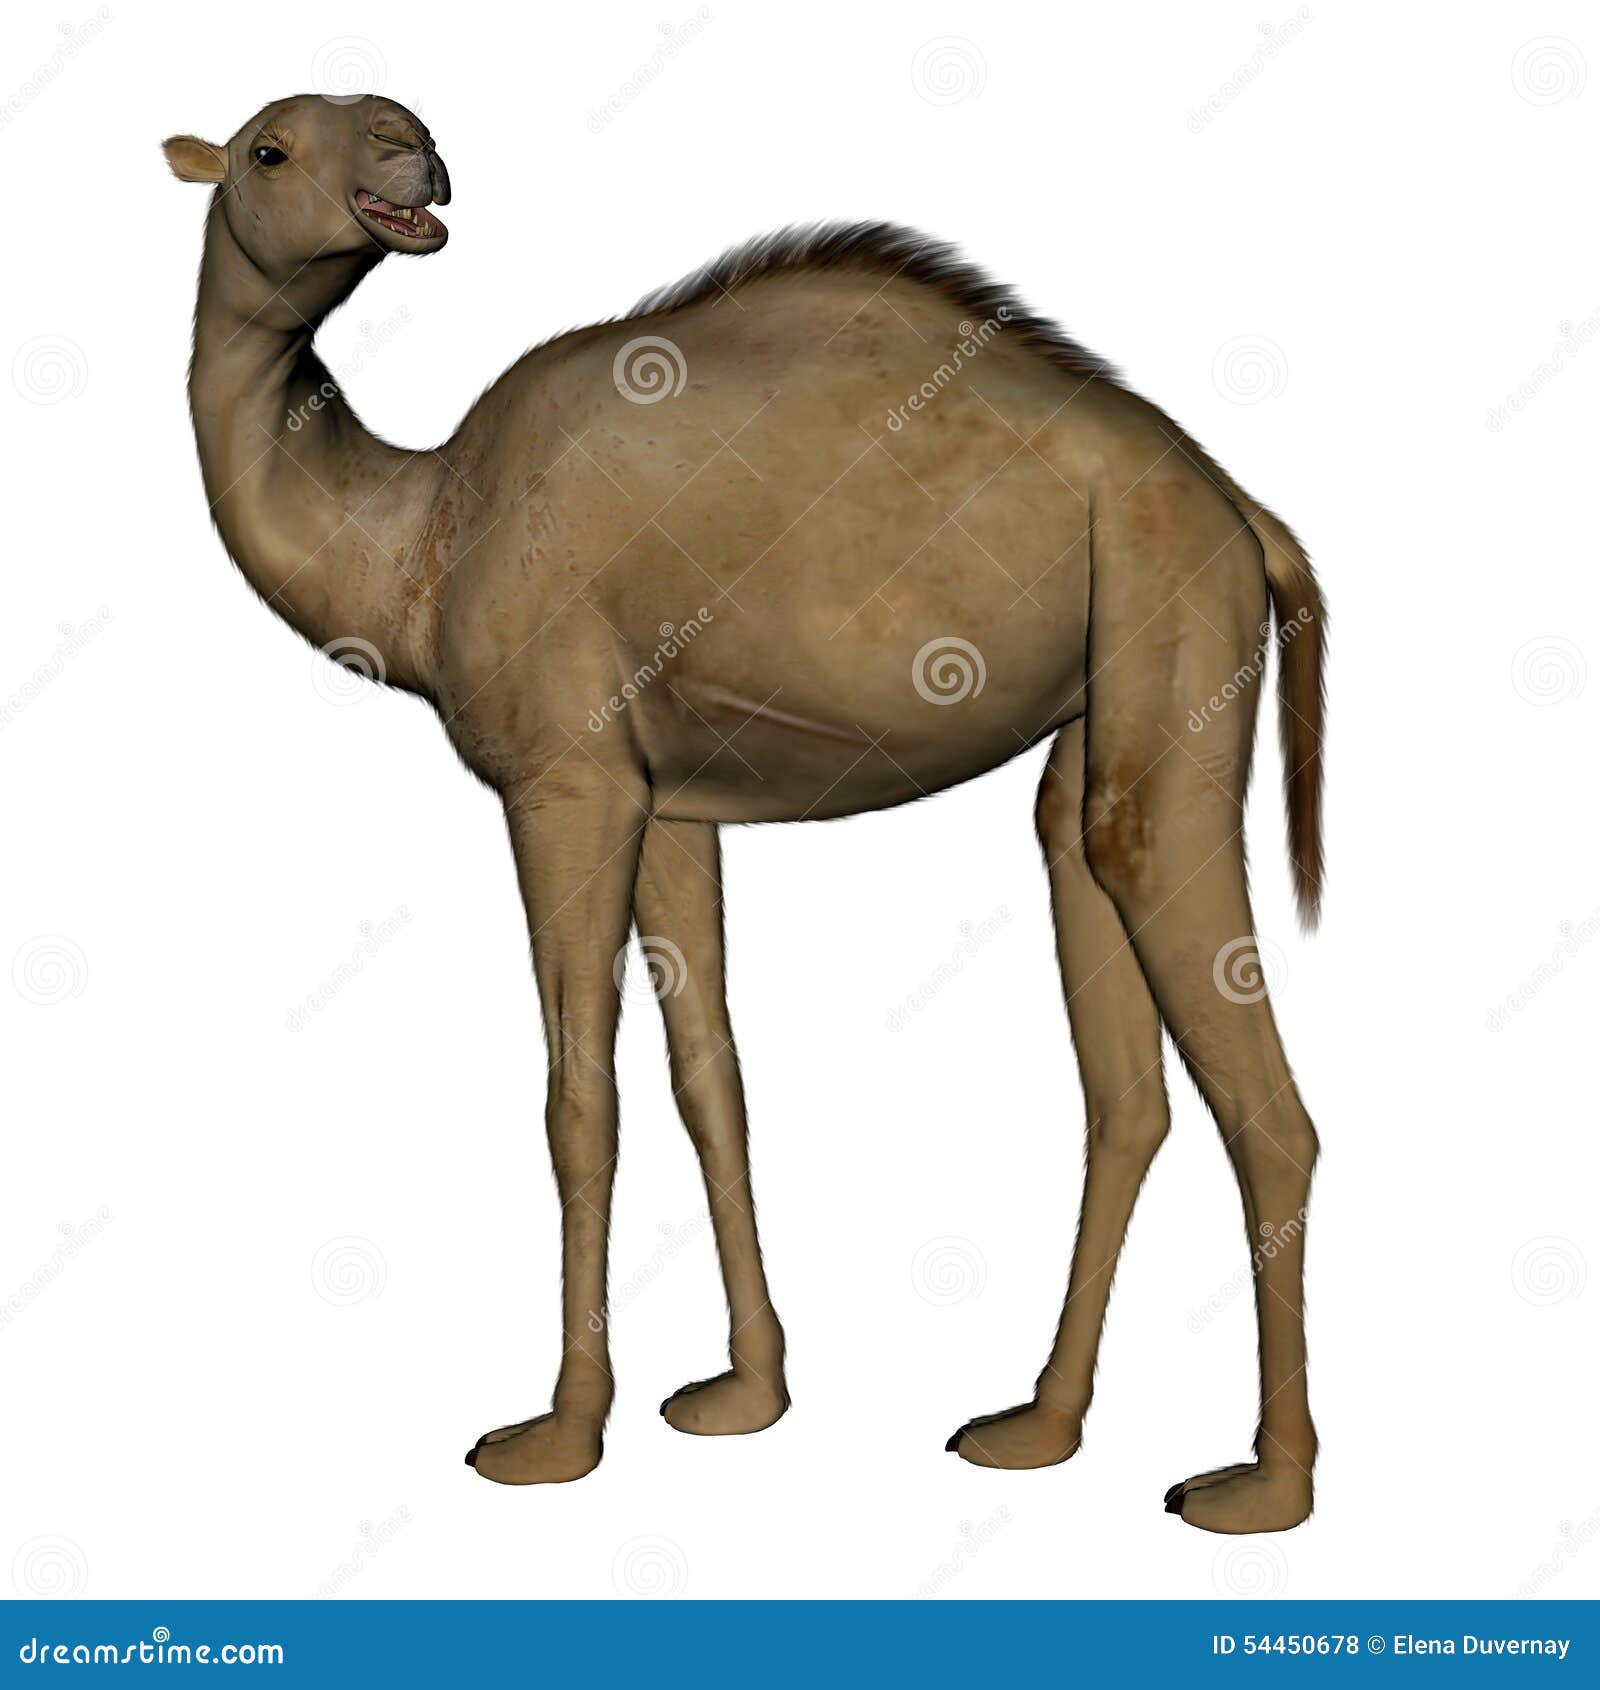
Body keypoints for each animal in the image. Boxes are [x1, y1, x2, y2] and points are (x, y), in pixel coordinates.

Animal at [164, 94, 1327, 1534]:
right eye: (268, 149)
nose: (406, 141)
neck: (422, 543)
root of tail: (1243, 513)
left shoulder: (566, 780)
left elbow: (579, 1097)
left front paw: (559, 1433)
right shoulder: (667, 800)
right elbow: (708, 1075)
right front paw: (743, 1393)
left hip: (1177, 626)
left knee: (1263, 1105)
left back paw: (1261, 1484)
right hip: (1104, 713)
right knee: (1122, 1070)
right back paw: (1032, 1426)